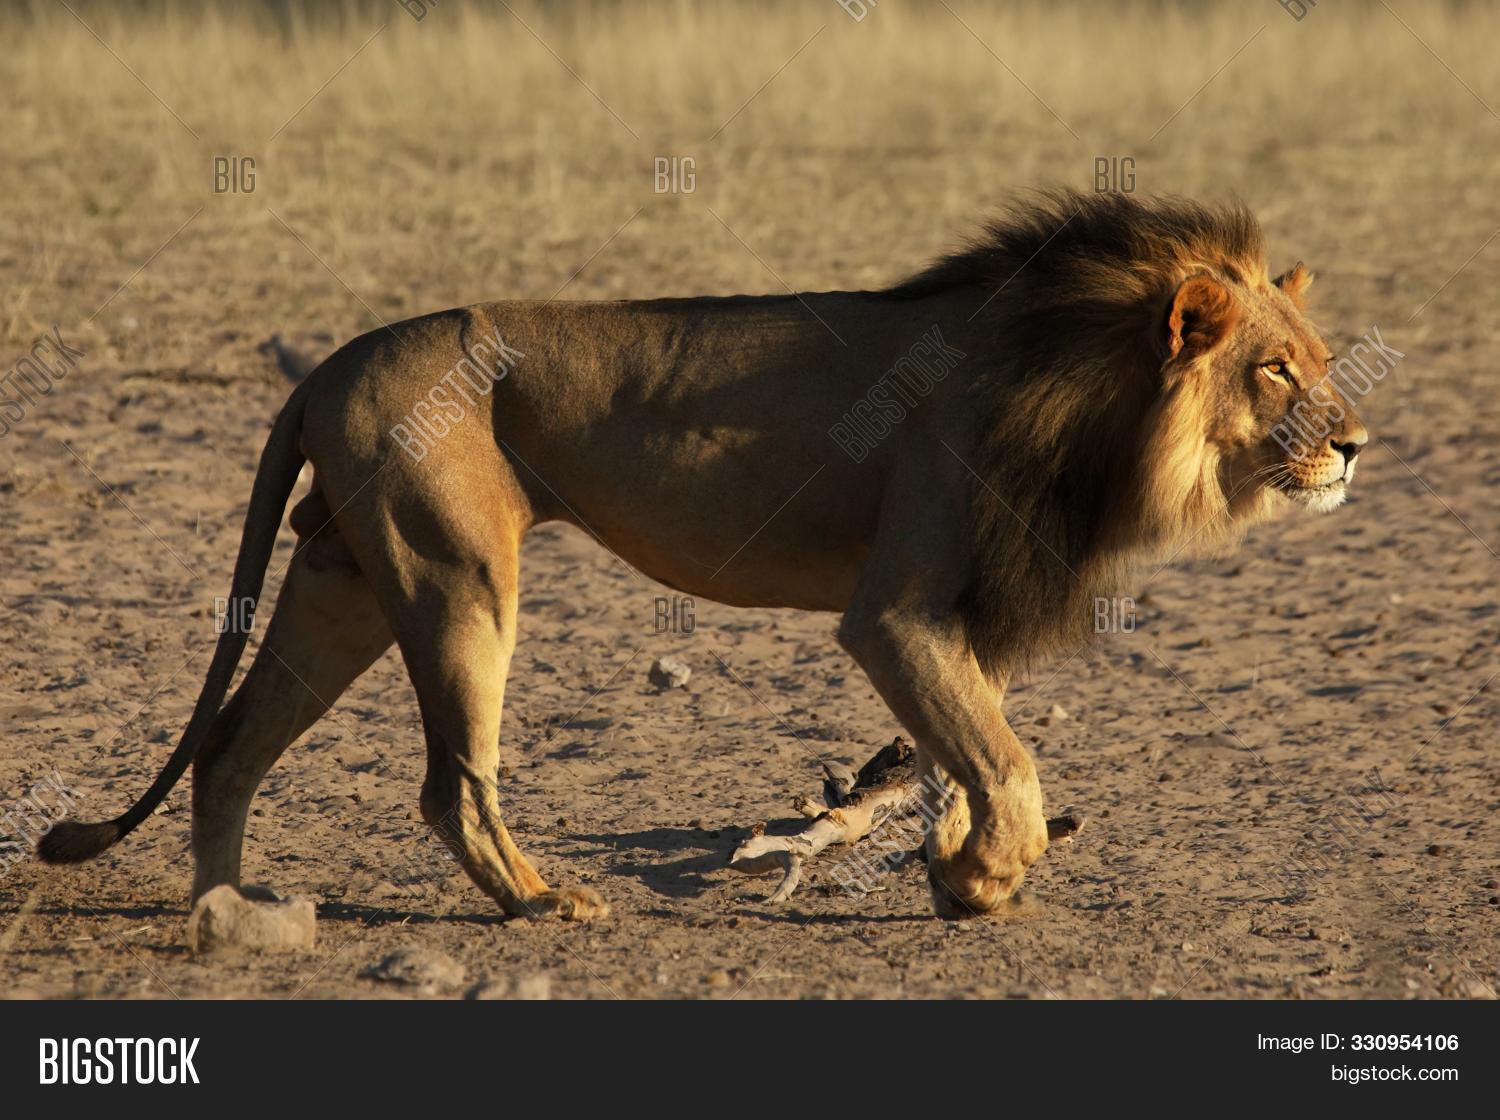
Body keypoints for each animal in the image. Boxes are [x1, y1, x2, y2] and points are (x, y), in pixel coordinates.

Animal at [38, 189, 1368, 921]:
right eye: (1275, 372)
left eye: (1321, 358)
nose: (1356, 444)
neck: (1086, 390)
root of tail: (324, 362)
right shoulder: (896, 613)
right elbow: (1009, 759)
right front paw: (987, 880)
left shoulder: (956, 618)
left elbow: (964, 756)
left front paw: (954, 869)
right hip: (456, 577)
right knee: (448, 777)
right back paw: (537, 900)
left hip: (347, 582)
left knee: (229, 744)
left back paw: (225, 913)